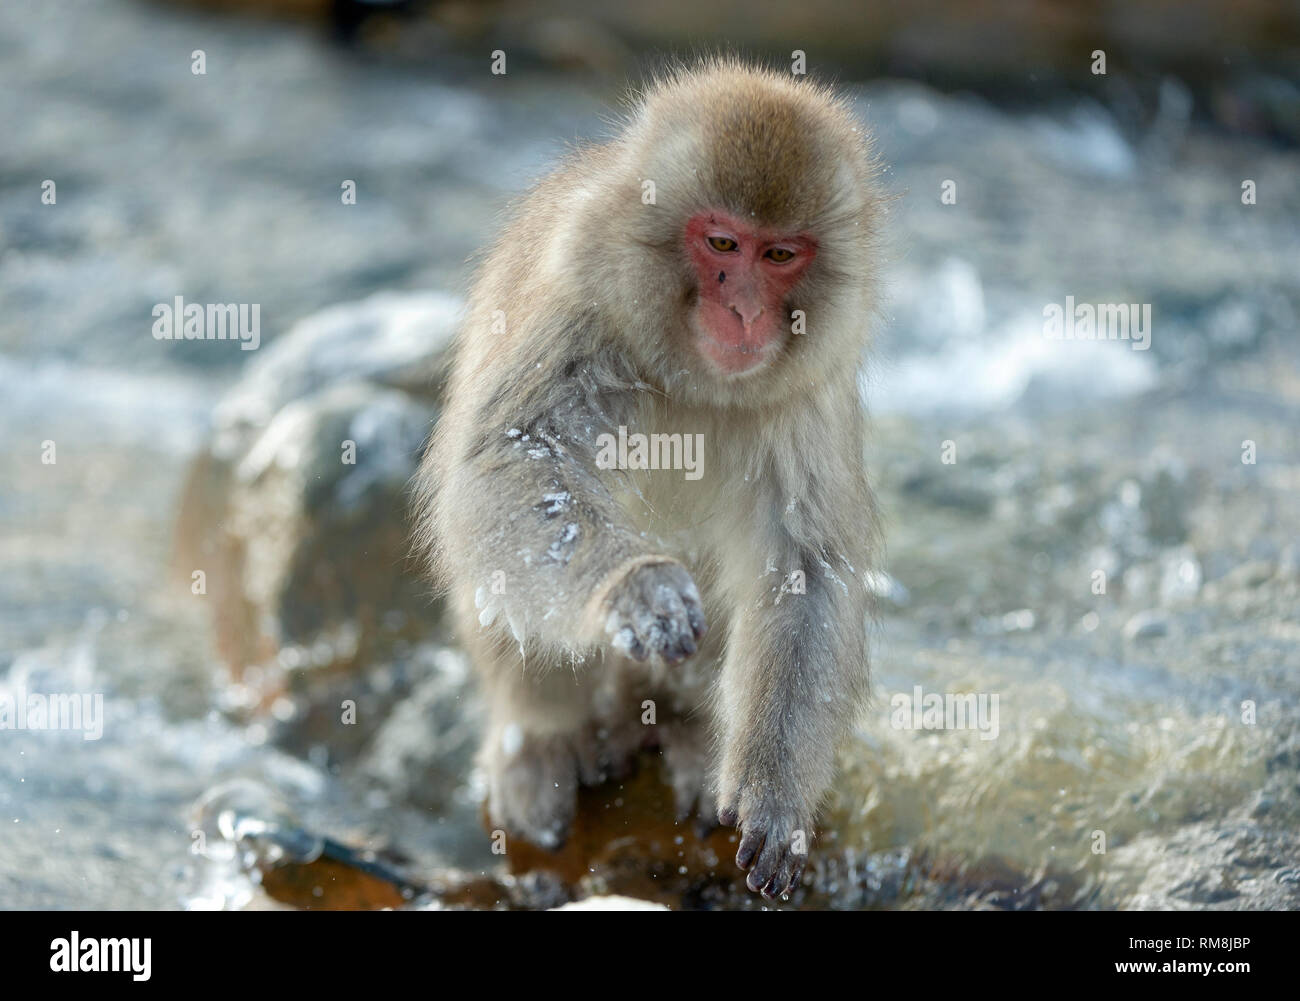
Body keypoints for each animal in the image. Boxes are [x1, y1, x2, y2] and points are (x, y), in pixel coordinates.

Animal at [414, 58, 881, 900]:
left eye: (779, 256)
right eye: (721, 241)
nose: (745, 311)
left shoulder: (807, 392)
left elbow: (805, 564)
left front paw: (775, 790)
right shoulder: (578, 306)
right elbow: (511, 456)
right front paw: (636, 587)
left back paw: (693, 734)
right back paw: (541, 737)